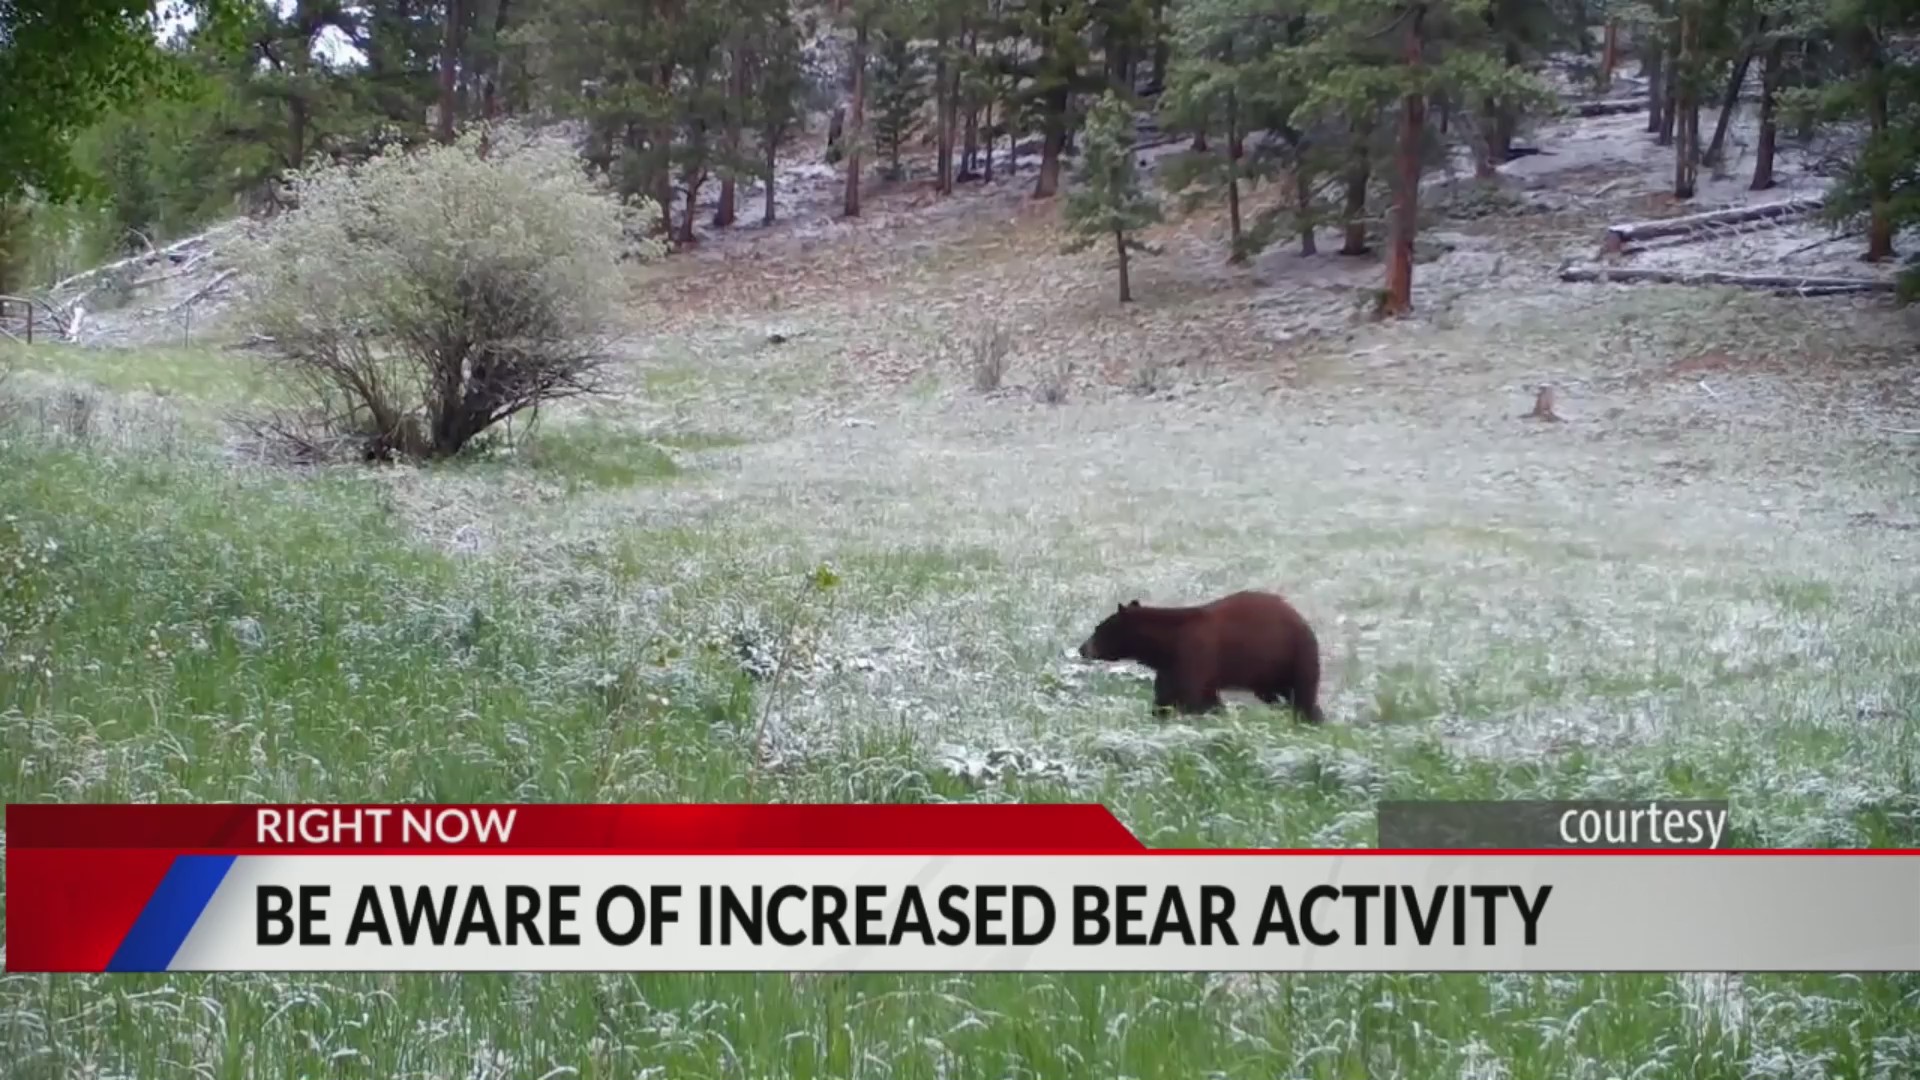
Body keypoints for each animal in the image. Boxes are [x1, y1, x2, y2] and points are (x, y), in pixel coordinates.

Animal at [1076, 590, 1324, 723]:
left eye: (1098, 629)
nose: (1082, 649)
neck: (1166, 644)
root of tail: (1303, 622)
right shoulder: (1172, 667)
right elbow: (1167, 696)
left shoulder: (1194, 656)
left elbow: (1192, 697)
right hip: (1271, 671)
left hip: (1294, 655)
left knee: (1303, 693)